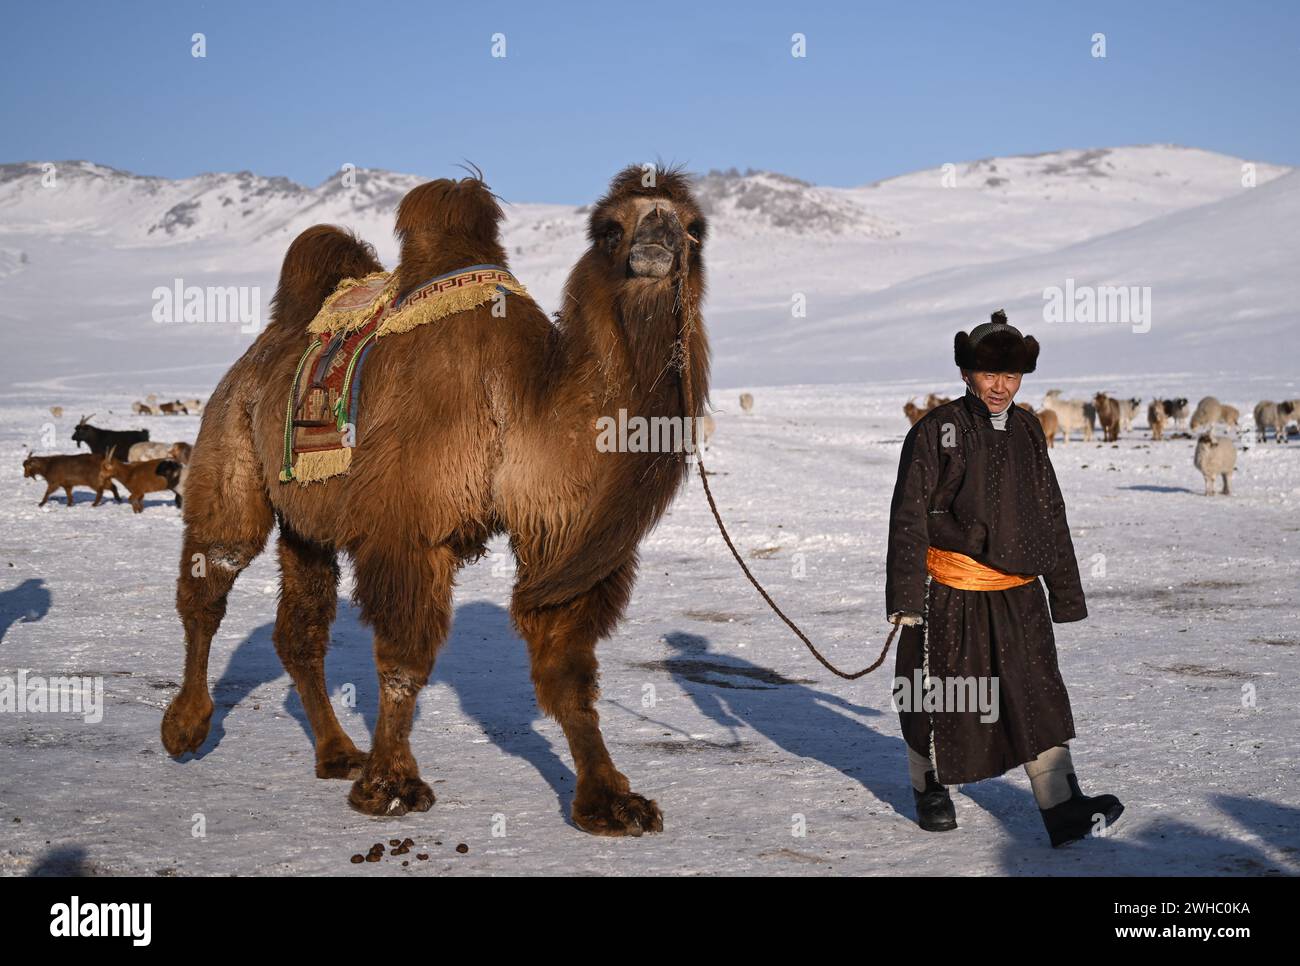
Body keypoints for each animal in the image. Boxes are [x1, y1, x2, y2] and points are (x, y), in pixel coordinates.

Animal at [160, 167, 709, 836]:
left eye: (693, 226)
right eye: (607, 228)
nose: (657, 231)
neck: (522, 398)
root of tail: (261, 349)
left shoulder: (554, 532)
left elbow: (568, 669)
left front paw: (610, 801)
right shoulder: (409, 526)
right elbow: (403, 661)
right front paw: (392, 785)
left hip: (307, 519)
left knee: (300, 629)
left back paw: (337, 753)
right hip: (230, 440)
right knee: (212, 574)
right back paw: (185, 727)